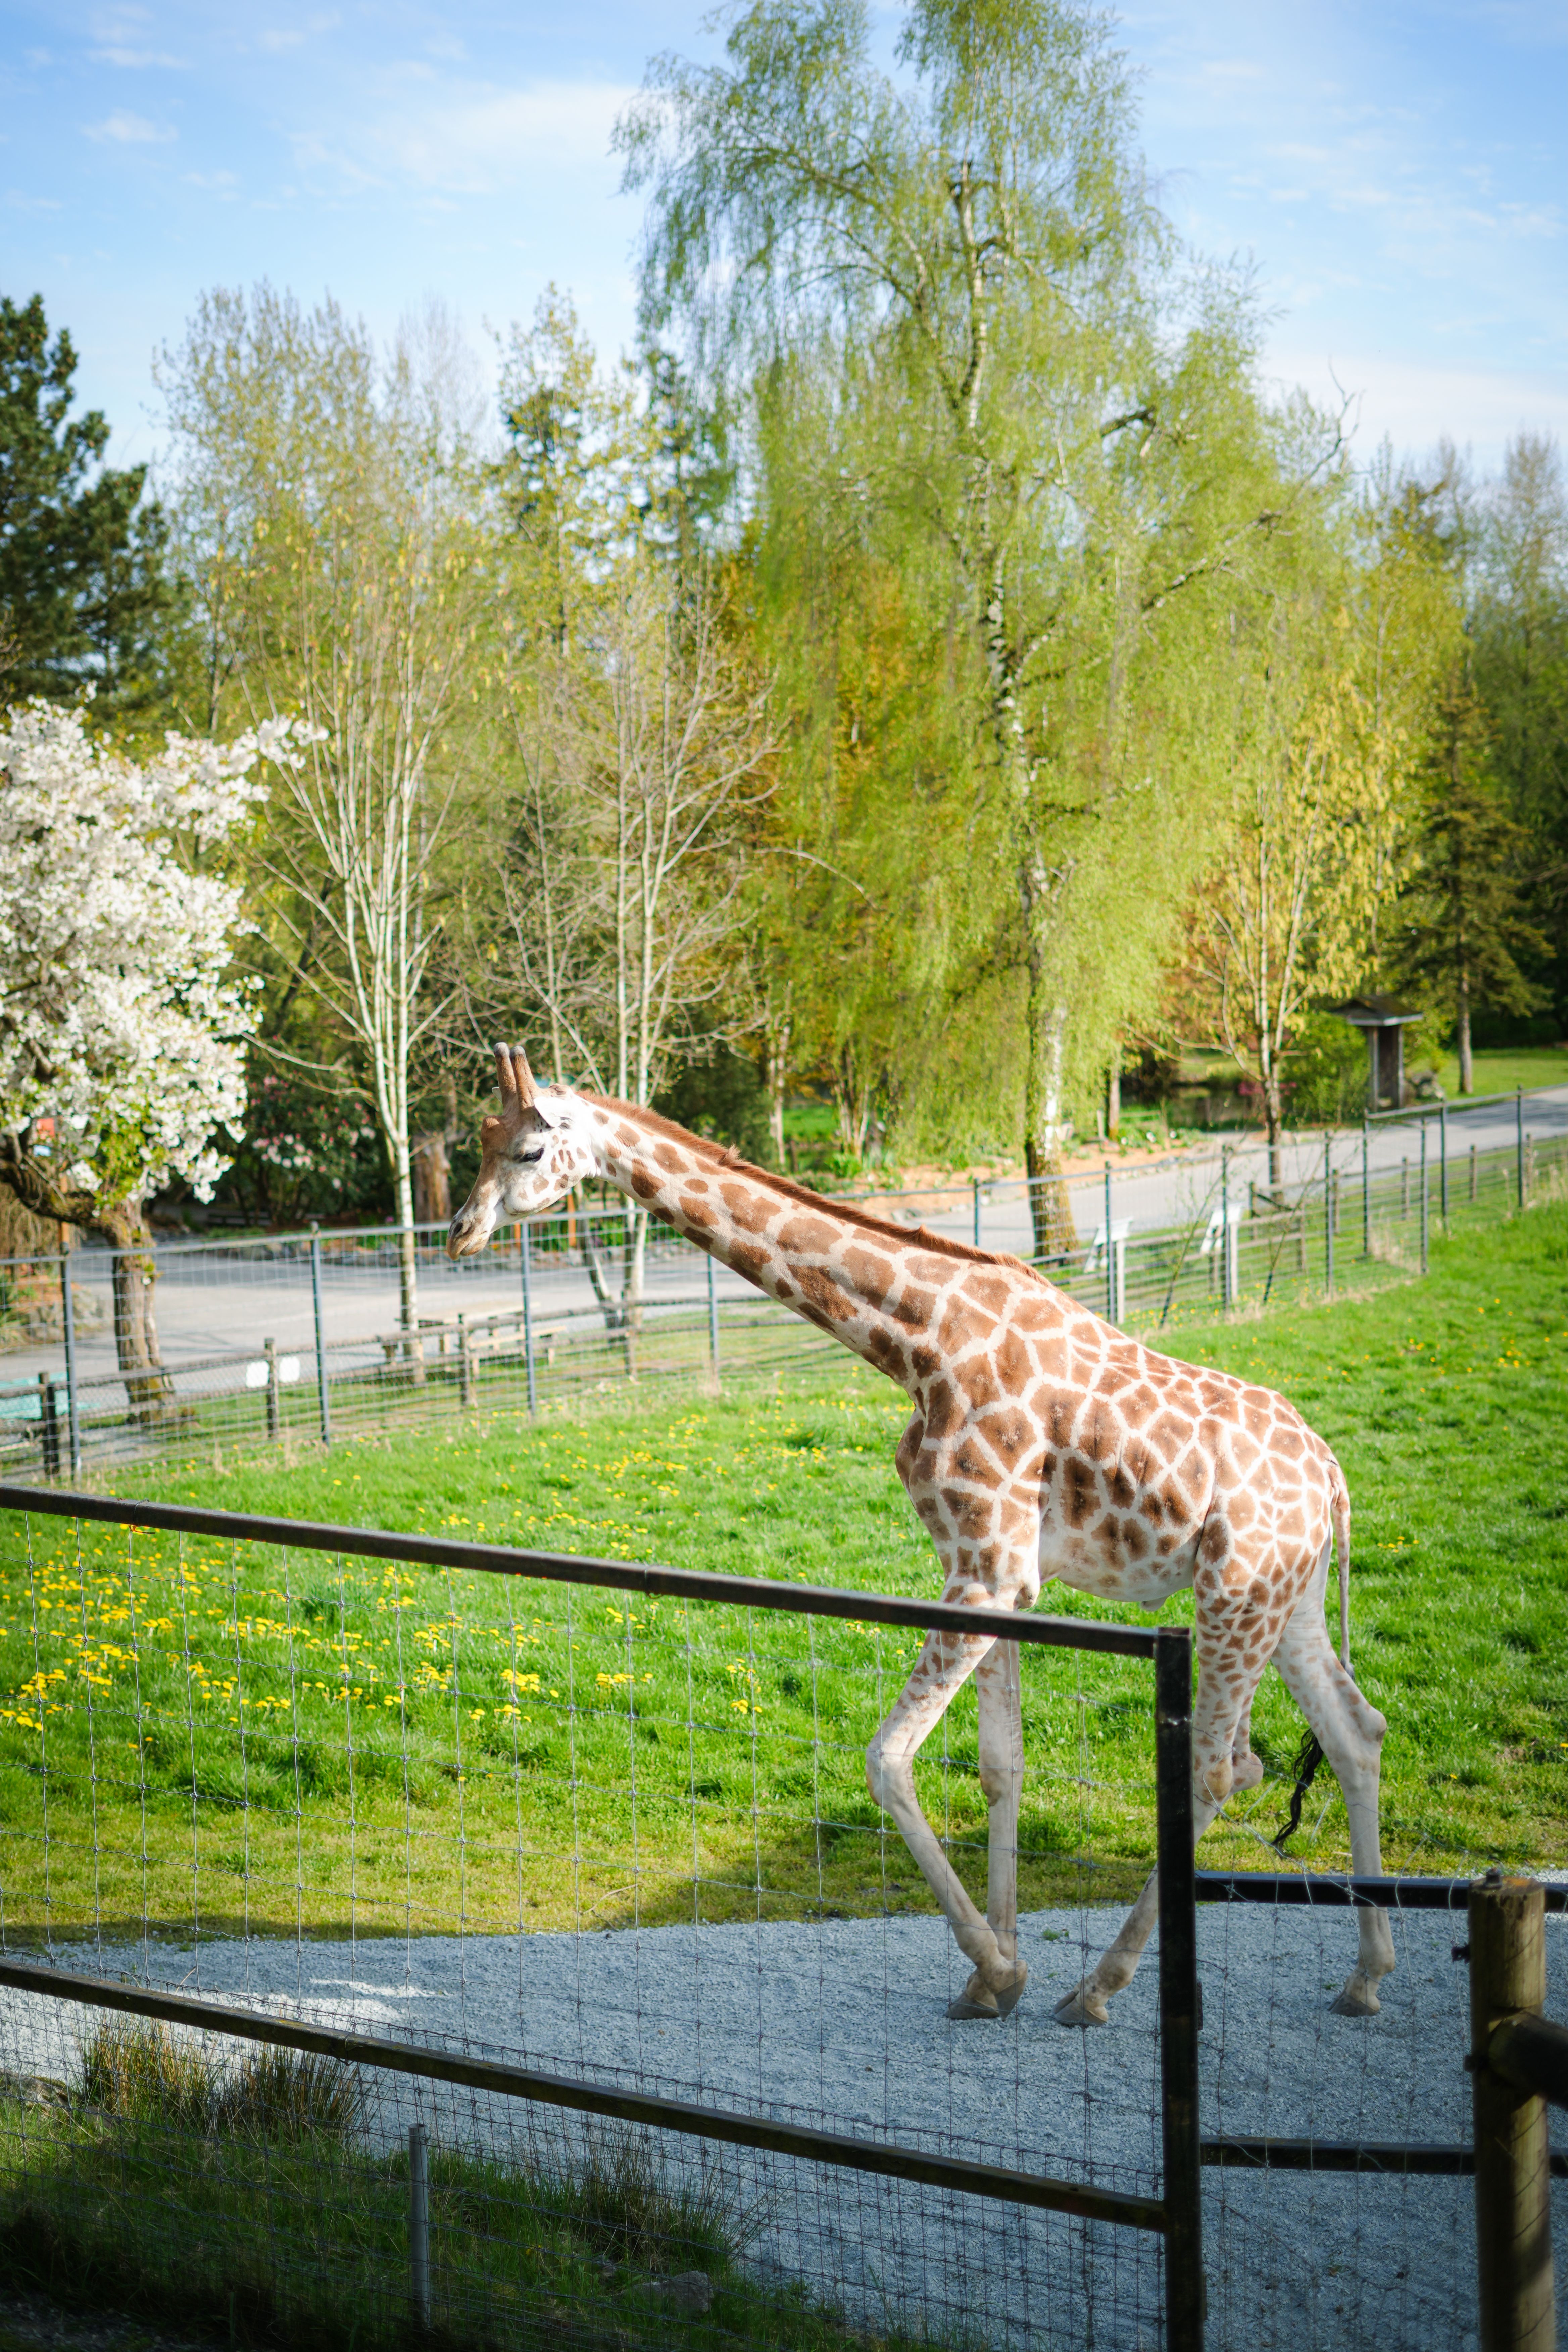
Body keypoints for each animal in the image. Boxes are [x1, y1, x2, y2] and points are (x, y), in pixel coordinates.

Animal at [449, 1047, 1396, 2025]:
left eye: (526, 1149)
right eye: (471, 1142)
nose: (461, 1231)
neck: (919, 1345)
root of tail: (1332, 1475)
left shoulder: (986, 1569)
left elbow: (888, 1760)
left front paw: (998, 1967)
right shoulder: (997, 1574)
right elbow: (1000, 1765)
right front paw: (991, 1977)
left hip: (1235, 1591)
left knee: (1219, 1769)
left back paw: (1096, 1989)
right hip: (1286, 1595)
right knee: (1354, 1730)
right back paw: (1364, 1977)